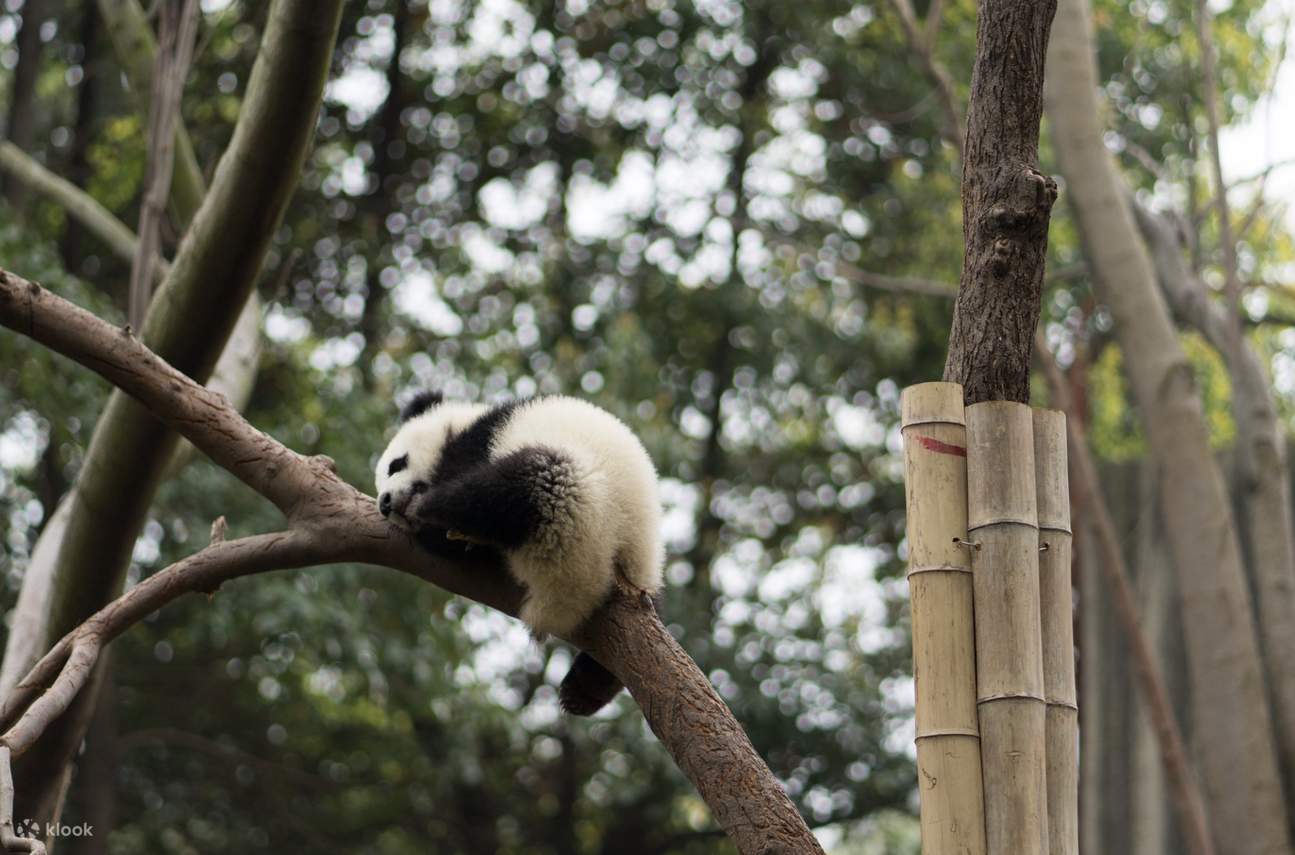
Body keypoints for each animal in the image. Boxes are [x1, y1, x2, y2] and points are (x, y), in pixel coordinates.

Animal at [374, 391, 665, 715]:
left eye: (396, 464)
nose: (385, 503)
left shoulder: (480, 439)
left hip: (574, 489)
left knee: (522, 482)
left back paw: (436, 506)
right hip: (638, 576)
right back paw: (583, 690)